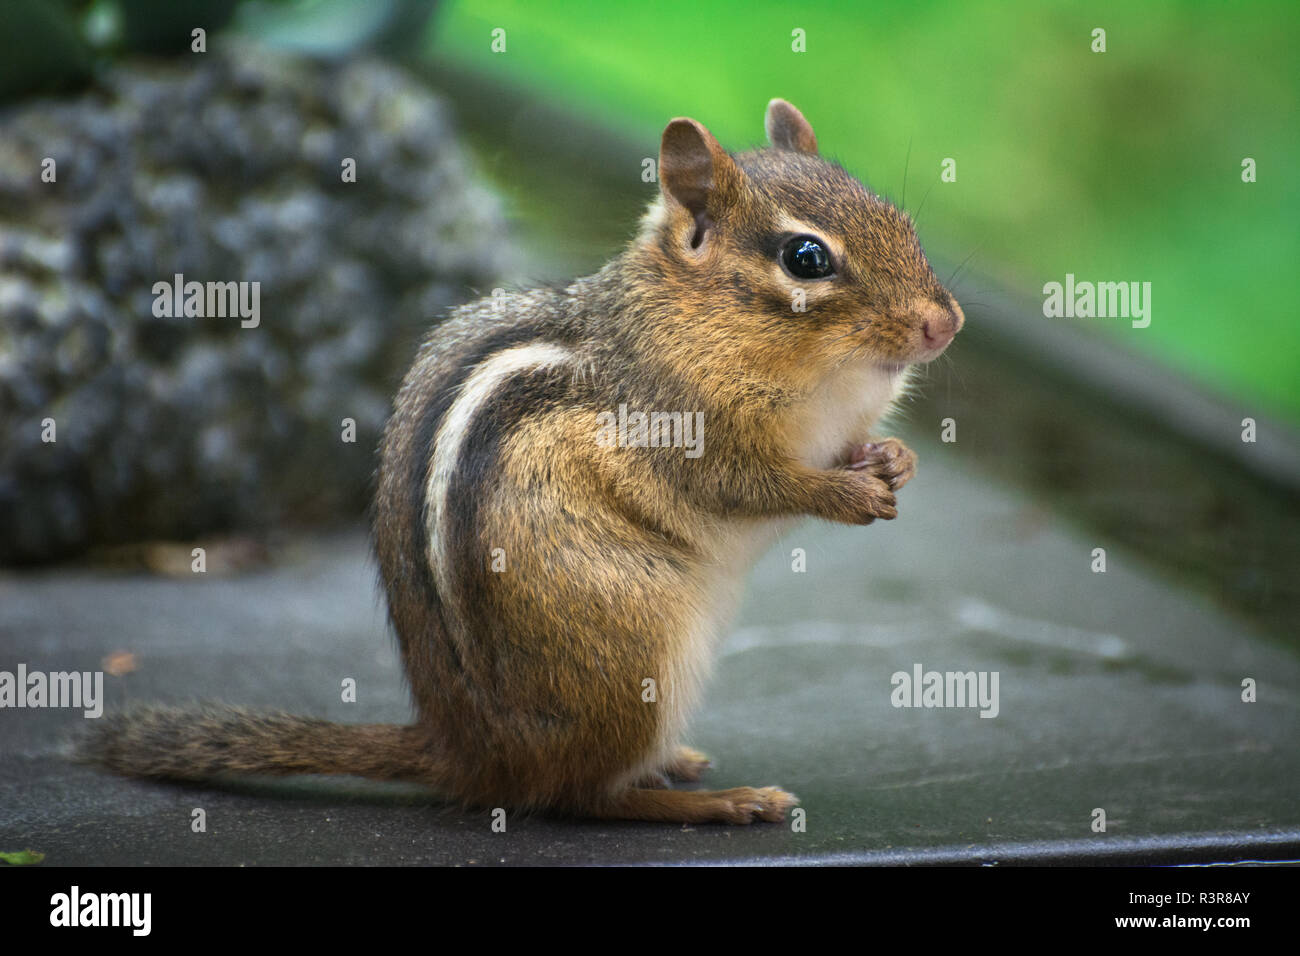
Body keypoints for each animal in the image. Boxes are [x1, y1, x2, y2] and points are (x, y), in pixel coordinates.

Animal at [78, 100, 963, 824]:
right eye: (806, 259)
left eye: (900, 219)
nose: (943, 323)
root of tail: (473, 754)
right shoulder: (676, 426)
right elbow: (746, 483)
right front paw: (844, 493)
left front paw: (894, 458)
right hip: (635, 650)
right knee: (583, 797)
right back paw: (715, 802)